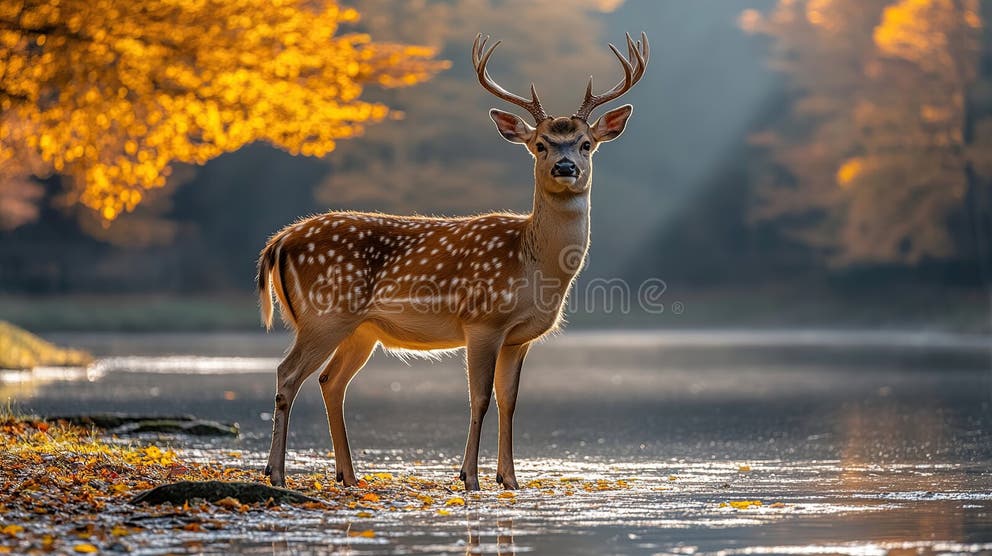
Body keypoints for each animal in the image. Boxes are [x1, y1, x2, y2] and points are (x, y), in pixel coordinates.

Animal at [256, 32, 648, 491]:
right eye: (540, 145)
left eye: (587, 144)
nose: (566, 166)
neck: (533, 265)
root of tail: (278, 241)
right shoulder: (482, 321)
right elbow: (479, 399)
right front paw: (470, 477)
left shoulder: (519, 337)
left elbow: (509, 401)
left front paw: (509, 479)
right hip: (324, 314)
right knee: (287, 375)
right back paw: (277, 473)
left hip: (360, 330)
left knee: (330, 381)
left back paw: (349, 476)